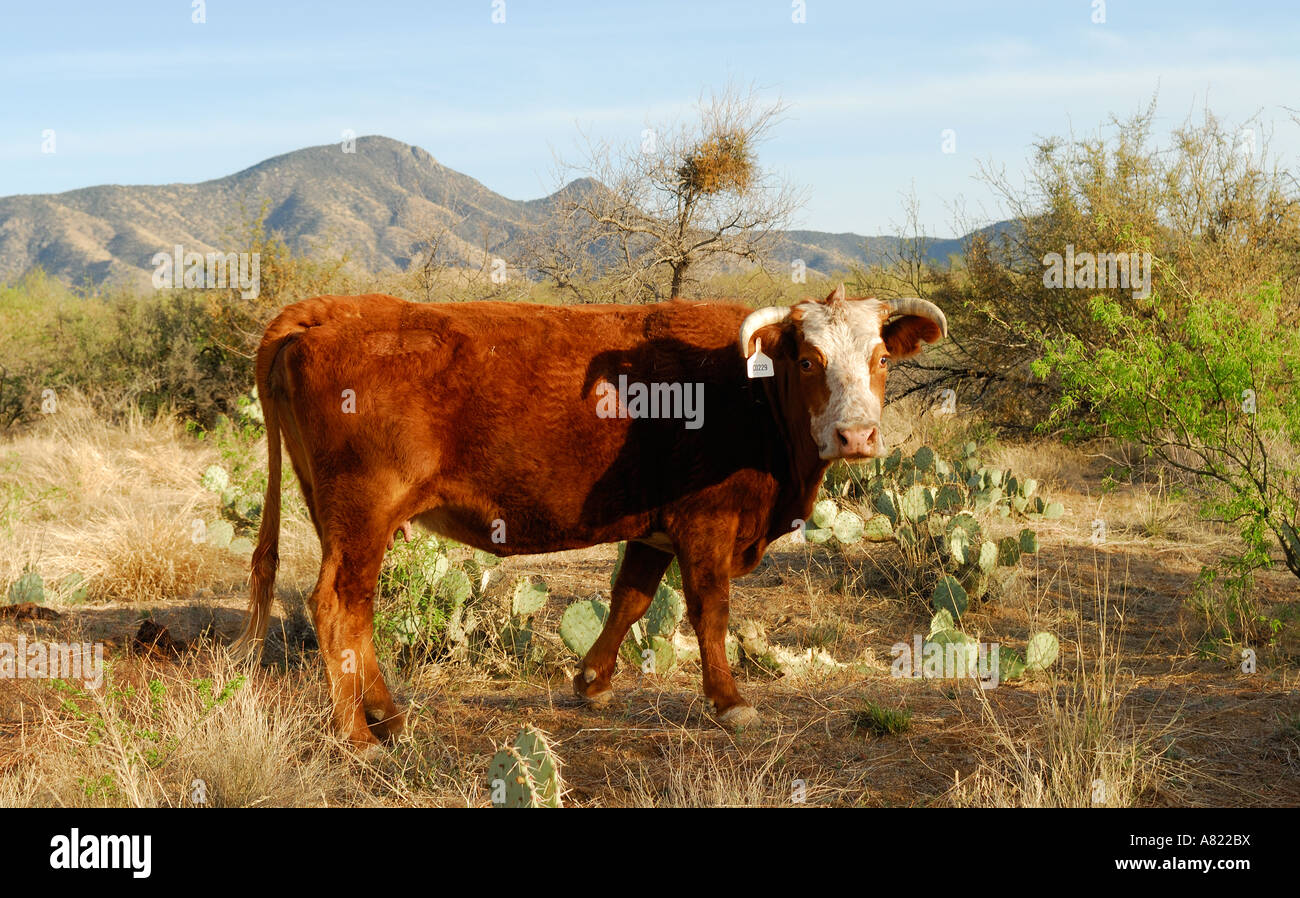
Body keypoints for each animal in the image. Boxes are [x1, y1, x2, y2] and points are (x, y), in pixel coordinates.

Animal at [230, 284, 947, 748]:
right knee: (337, 606)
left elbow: (631, 599)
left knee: (356, 611)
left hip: (339, 517)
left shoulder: (656, 528)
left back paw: (390, 718)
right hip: (363, 514)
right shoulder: (707, 521)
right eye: (807, 359)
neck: (752, 391)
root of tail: (330, 309)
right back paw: (357, 735)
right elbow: (708, 609)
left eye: (882, 359)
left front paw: (592, 681)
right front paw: (730, 701)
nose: (857, 436)